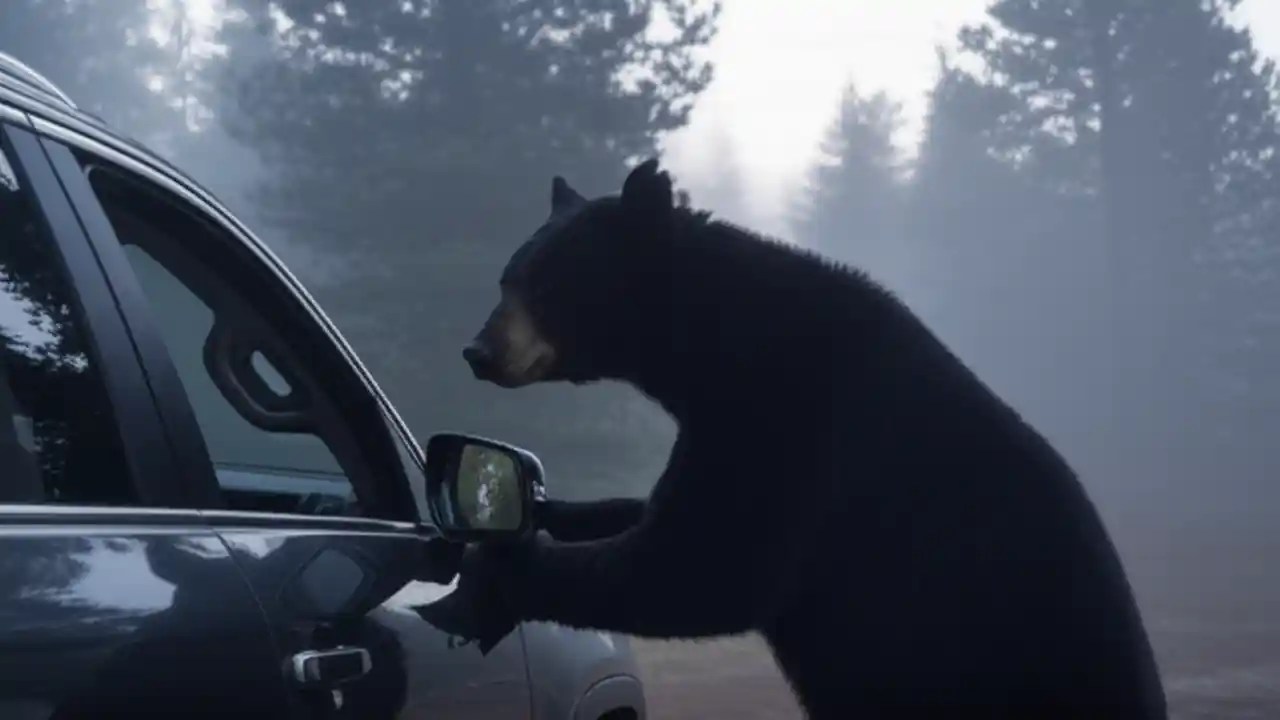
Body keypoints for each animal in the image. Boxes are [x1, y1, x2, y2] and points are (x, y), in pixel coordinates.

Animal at [439, 158, 1167, 718]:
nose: (477, 351)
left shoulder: (795, 422)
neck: (721, 347)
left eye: (549, 284)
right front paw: (540, 509)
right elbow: (664, 515)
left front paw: (490, 581)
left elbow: (705, 565)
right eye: (508, 276)